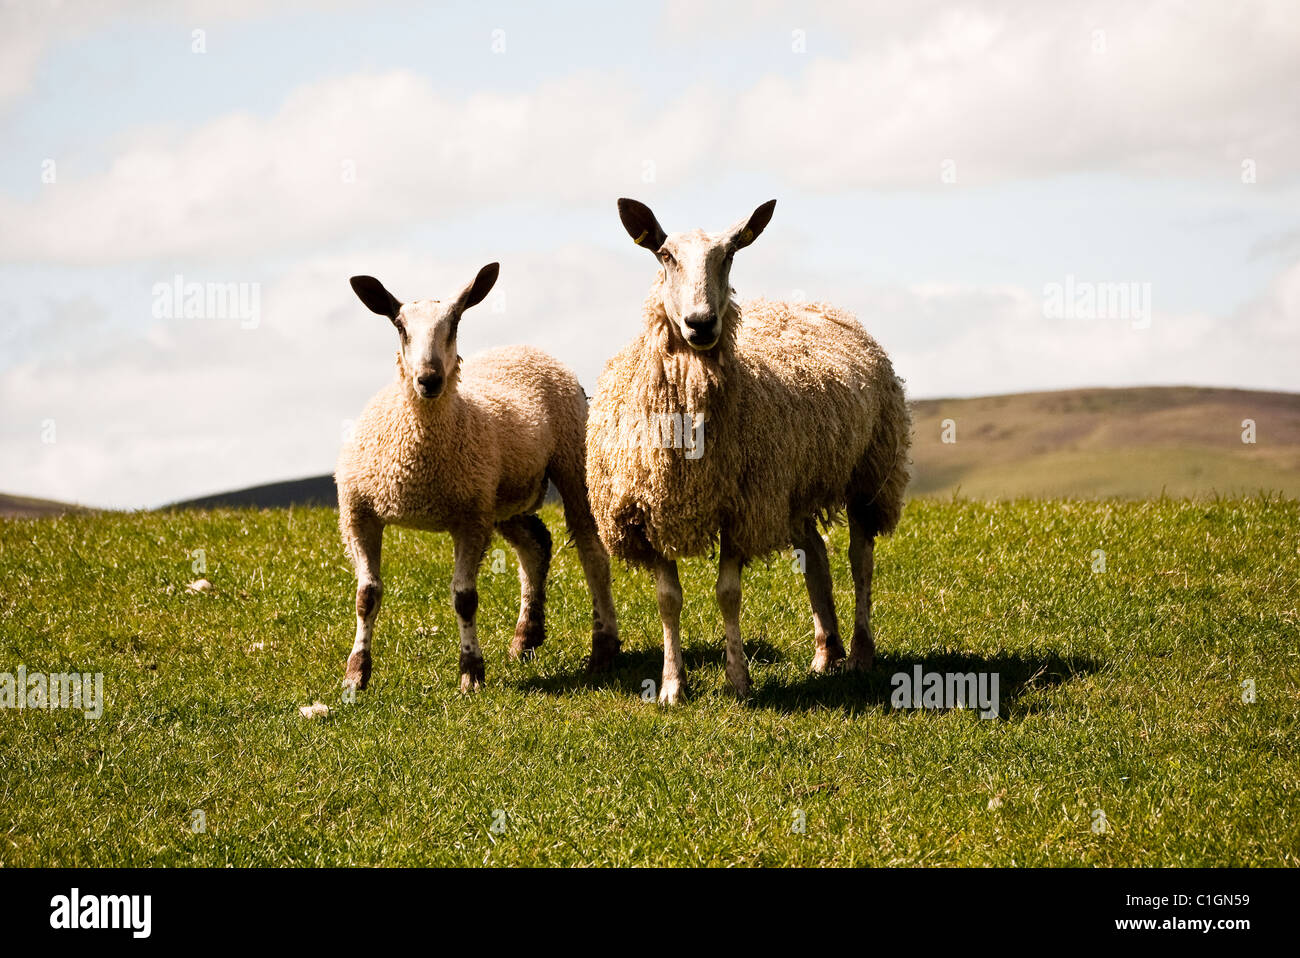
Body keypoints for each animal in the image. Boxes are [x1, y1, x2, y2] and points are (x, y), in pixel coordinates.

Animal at [336, 263, 620, 692]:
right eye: (400, 326)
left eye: (454, 323)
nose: (429, 379)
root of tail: (526, 349)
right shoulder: (358, 513)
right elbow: (366, 596)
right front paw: (355, 675)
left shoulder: (468, 520)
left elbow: (464, 598)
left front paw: (471, 672)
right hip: (502, 495)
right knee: (536, 543)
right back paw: (525, 637)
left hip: (572, 461)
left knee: (592, 553)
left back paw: (603, 648)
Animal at [586, 200, 910, 704]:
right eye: (665, 256)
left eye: (730, 254)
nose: (700, 323)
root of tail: (815, 304)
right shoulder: (650, 512)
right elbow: (668, 601)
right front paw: (672, 687)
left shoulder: (741, 509)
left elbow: (727, 594)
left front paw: (738, 680)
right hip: (790, 489)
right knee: (816, 554)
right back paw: (826, 653)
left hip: (870, 472)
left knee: (861, 559)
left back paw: (859, 653)